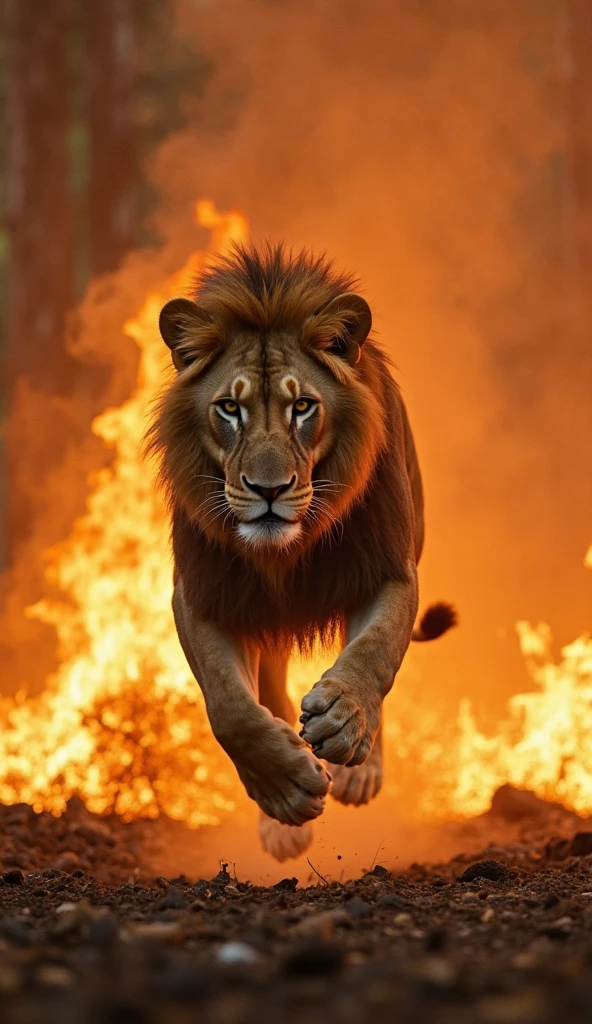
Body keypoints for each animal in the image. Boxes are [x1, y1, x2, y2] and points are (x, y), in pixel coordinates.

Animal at [148, 243, 455, 861]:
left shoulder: (387, 570)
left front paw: (343, 721)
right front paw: (283, 786)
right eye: (229, 408)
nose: (269, 489)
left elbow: (375, 654)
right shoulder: (202, 593)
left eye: (304, 407)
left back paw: (359, 765)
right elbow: (230, 705)